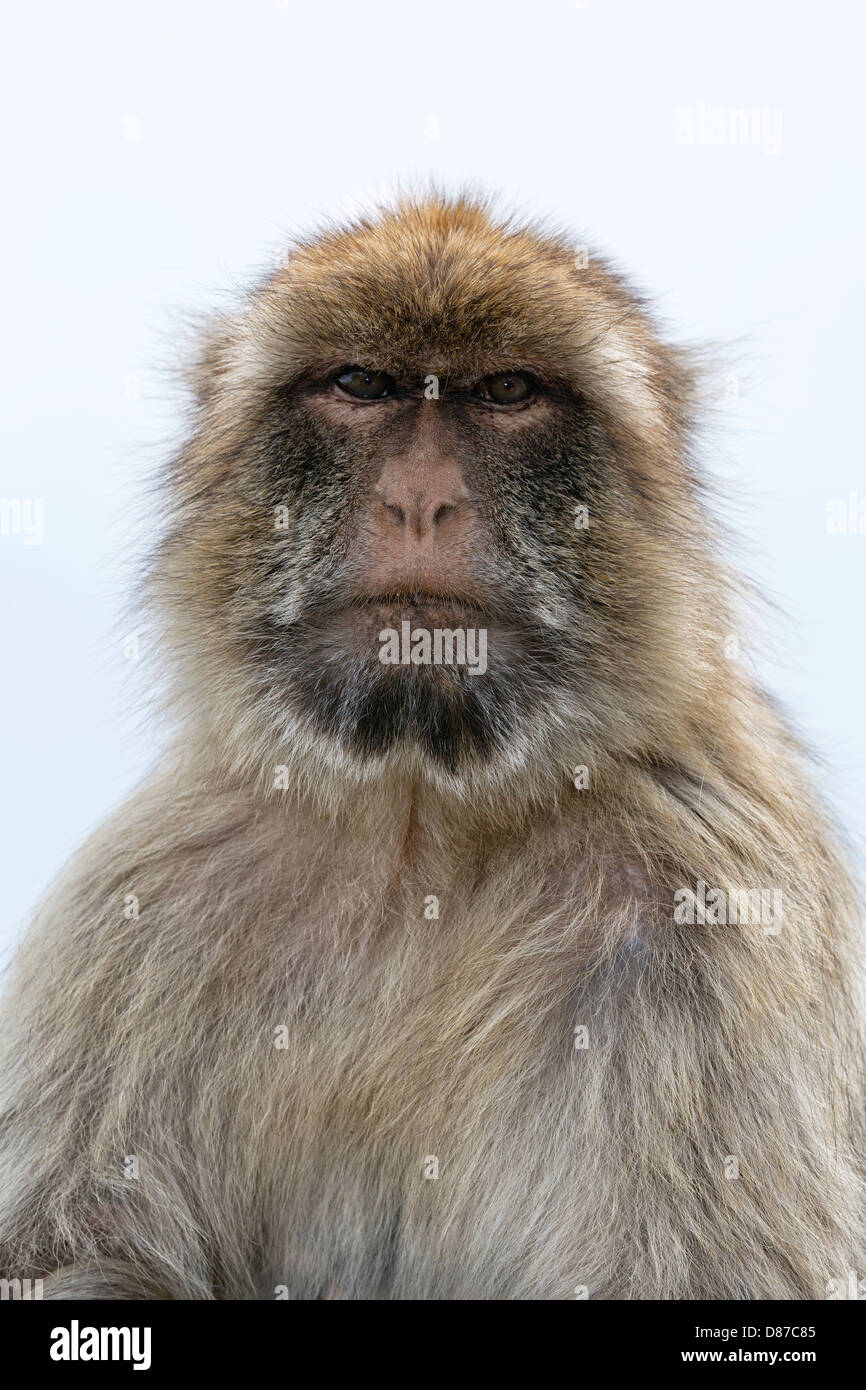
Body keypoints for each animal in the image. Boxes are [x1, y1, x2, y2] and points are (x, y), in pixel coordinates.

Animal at [0, 193, 863, 1301]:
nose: (418, 499)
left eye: (507, 392)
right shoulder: (136, 904)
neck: (421, 821)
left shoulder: (715, 915)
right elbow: (65, 1253)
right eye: (359, 385)